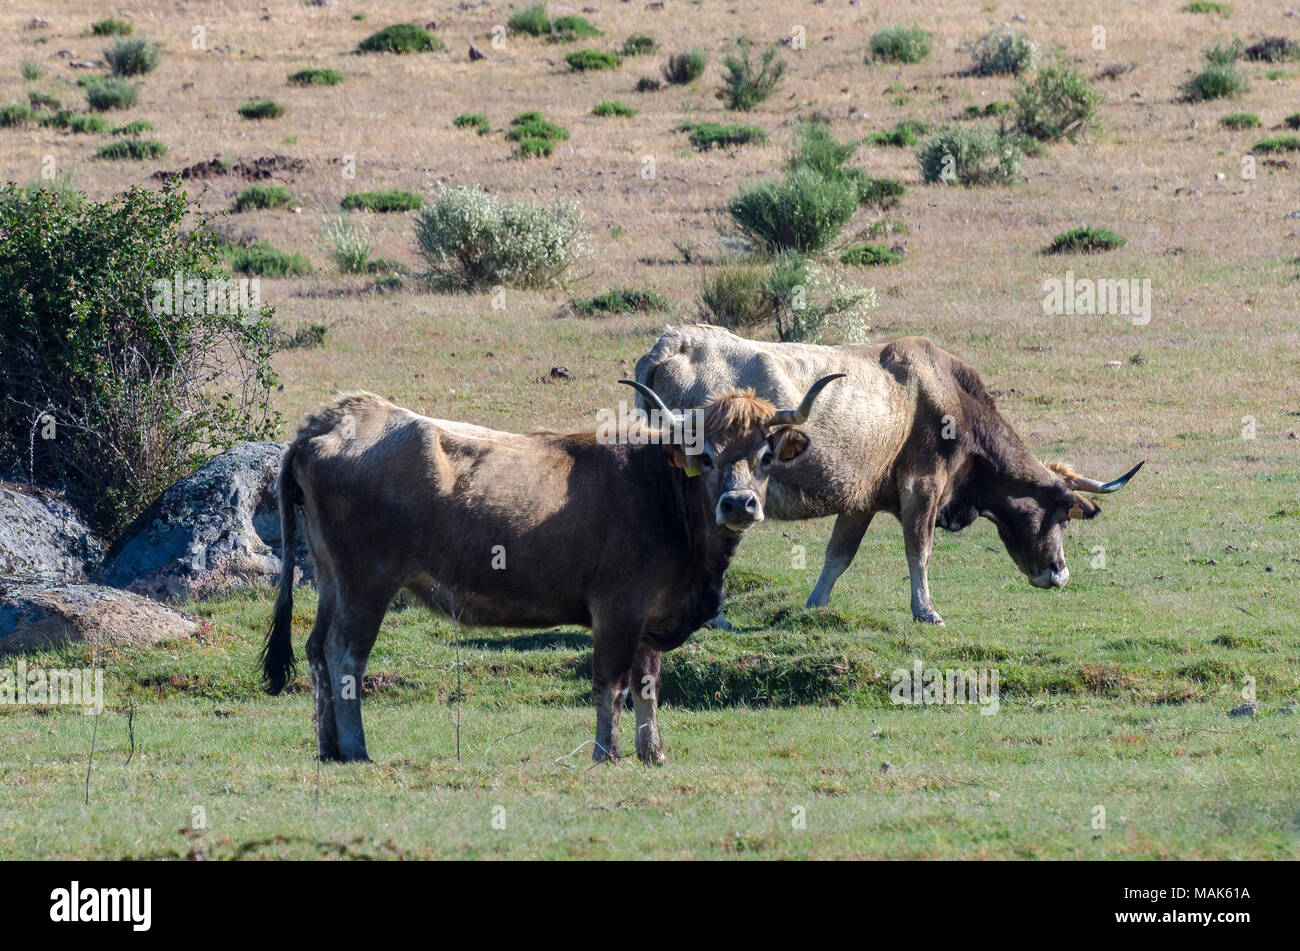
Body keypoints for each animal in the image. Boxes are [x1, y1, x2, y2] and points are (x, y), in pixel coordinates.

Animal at [260, 376, 842, 765]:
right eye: (708, 454)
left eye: (766, 455)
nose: (739, 504)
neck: (663, 493)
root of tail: (334, 418)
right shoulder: (617, 609)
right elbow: (610, 684)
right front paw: (606, 754)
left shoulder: (650, 615)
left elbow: (648, 685)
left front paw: (652, 753)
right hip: (367, 584)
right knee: (345, 655)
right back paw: (357, 748)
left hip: (332, 581)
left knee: (316, 649)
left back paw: (329, 747)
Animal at [635, 325, 1143, 625]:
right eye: (1061, 518)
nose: (1060, 573)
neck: (947, 395)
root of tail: (676, 342)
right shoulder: (923, 486)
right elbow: (919, 551)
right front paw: (927, 611)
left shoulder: (860, 500)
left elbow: (838, 556)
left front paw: (815, 606)